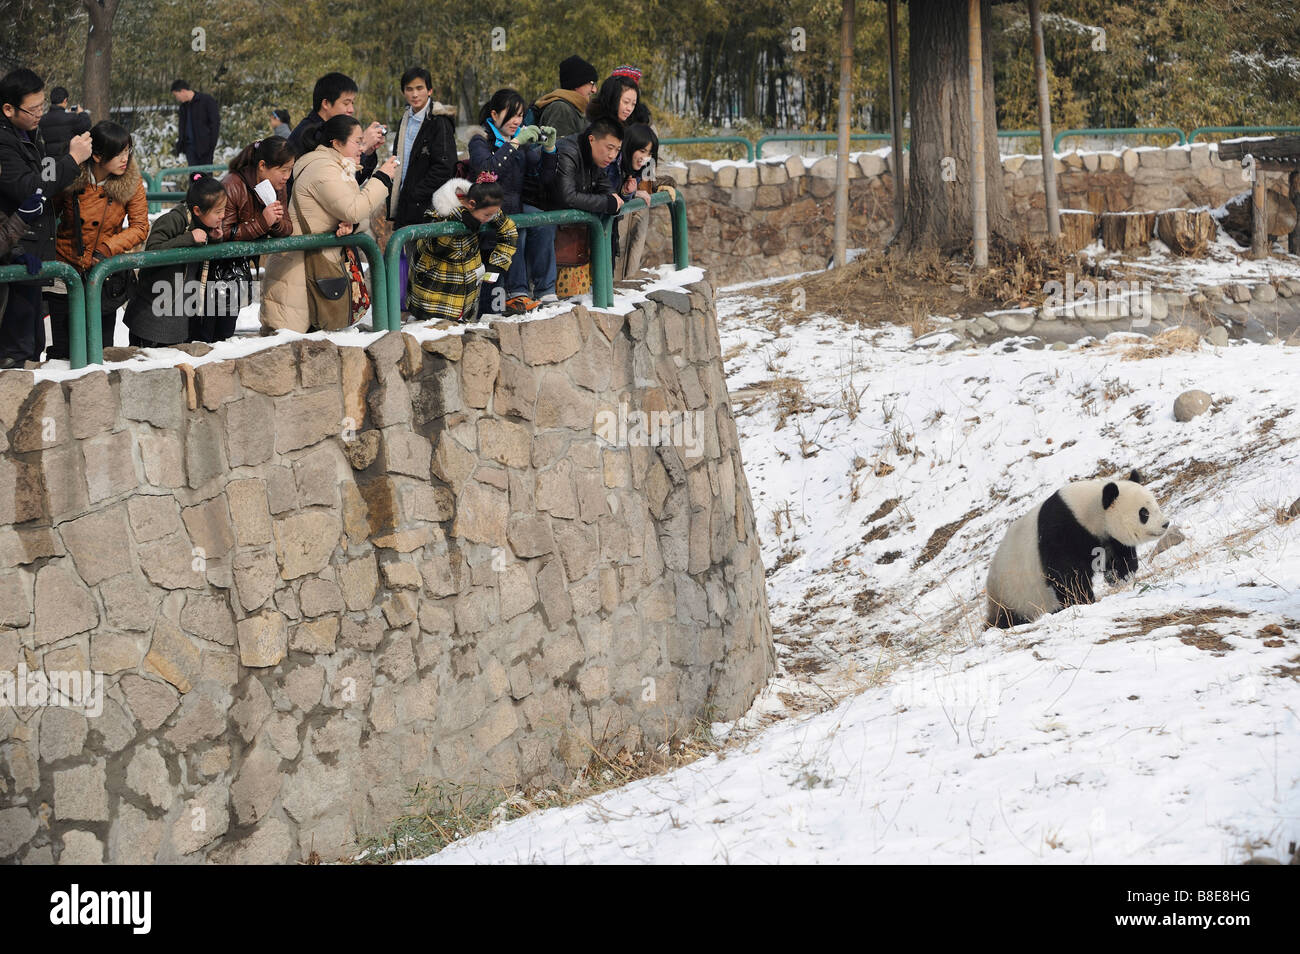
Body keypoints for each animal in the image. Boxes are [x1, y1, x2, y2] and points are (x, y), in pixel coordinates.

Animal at [985, 470, 1170, 629]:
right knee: (1007, 616)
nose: (1165, 524)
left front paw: (1118, 577)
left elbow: (1120, 555)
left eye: (1155, 505)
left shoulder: (1106, 536)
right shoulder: (1062, 531)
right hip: (1012, 593)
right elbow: (1067, 575)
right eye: (1144, 513)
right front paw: (1082, 600)